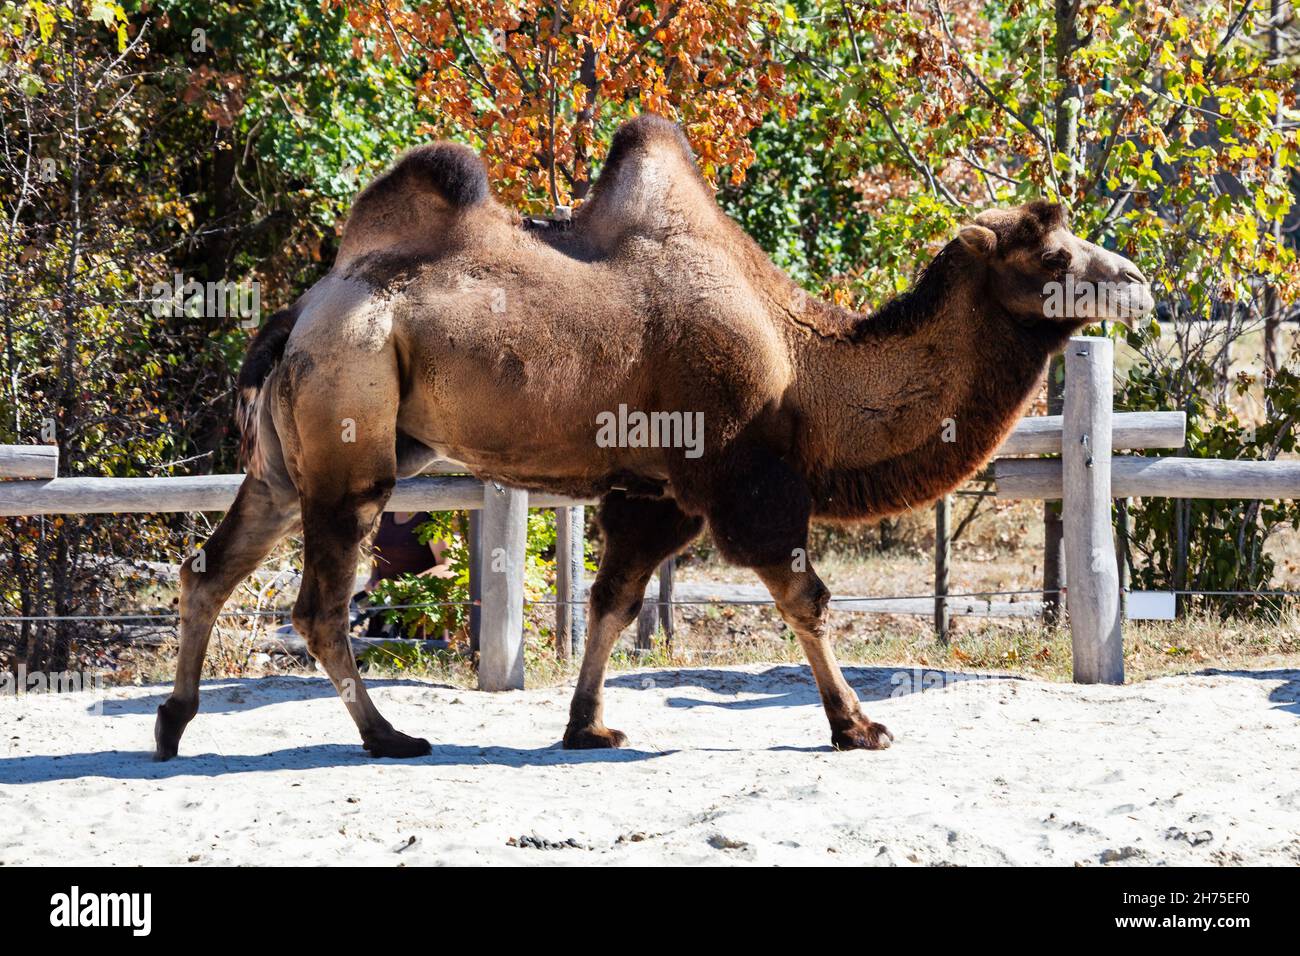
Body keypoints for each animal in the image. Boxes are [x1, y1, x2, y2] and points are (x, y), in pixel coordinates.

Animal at [155, 114, 1154, 760]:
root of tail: (299, 312)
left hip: (293, 455)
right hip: (351, 423)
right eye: (1054, 254)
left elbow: (613, 600)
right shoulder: (742, 479)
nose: (1138, 281)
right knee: (319, 604)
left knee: (211, 565)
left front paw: (587, 725)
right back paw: (388, 736)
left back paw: (172, 724)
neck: (803, 366)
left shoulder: (657, 493)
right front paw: (857, 726)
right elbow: (807, 598)